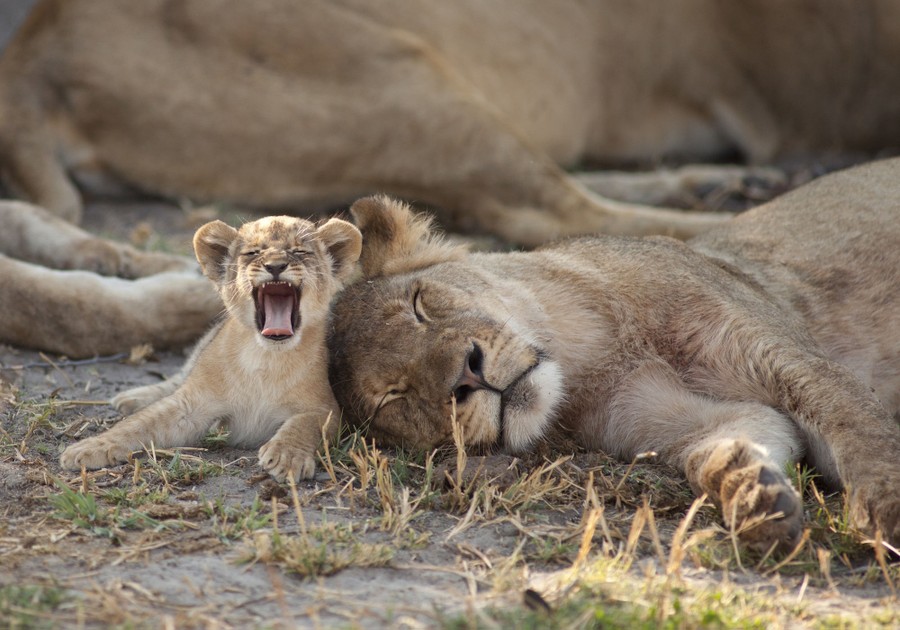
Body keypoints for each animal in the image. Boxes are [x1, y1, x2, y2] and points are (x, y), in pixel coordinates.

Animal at [61, 214, 362, 481]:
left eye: (299, 251)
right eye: (252, 252)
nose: (276, 265)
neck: (265, 358)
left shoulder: (328, 409)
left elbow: (305, 425)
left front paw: (287, 456)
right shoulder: (191, 403)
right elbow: (139, 424)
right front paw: (87, 448)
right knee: (176, 380)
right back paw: (131, 398)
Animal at [327, 159, 900, 551]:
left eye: (420, 304)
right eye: (393, 396)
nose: (467, 376)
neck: (593, 358)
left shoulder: (788, 356)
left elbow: (856, 423)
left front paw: (887, 510)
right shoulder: (679, 421)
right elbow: (719, 448)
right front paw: (752, 492)